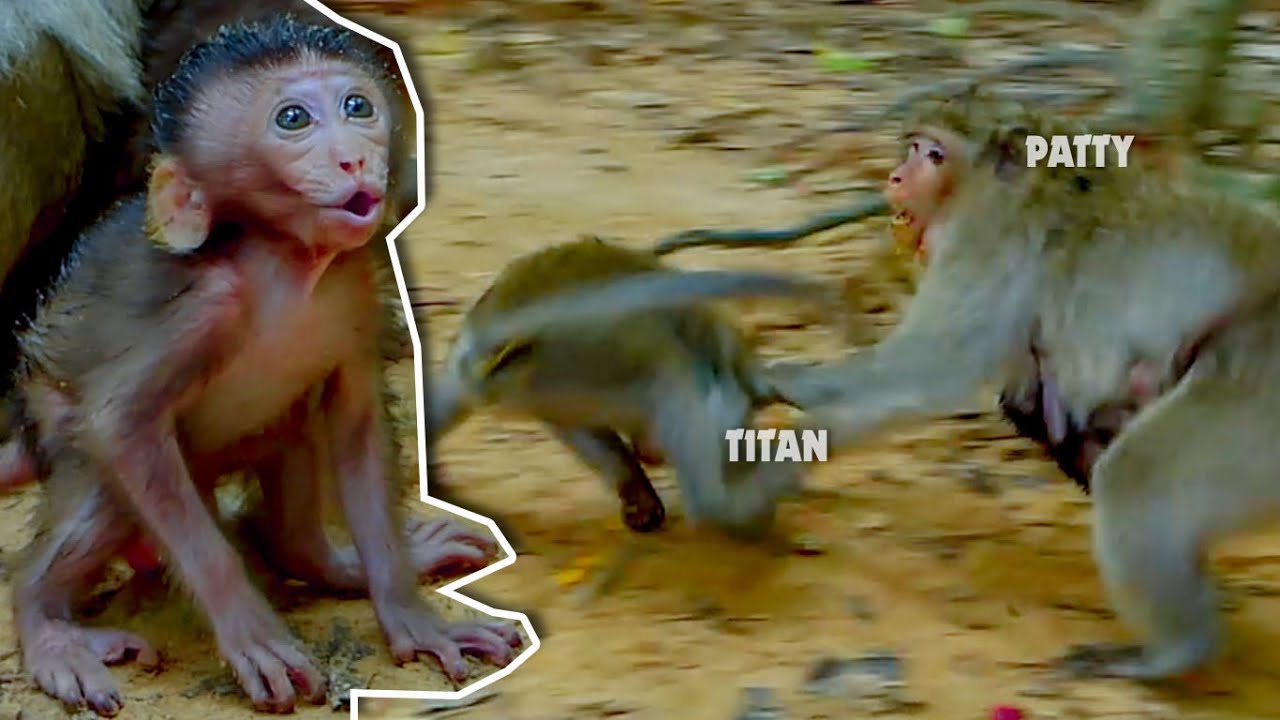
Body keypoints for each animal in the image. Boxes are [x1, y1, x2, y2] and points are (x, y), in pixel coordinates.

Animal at [9, 18, 522, 716]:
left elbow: (356, 418)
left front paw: (412, 617)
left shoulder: (357, 285)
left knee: (298, 423)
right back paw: (43, 621)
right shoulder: (205, 307)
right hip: (61, 428)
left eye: (357, 106)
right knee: (111, 486)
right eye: (292, 119)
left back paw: (323, 560)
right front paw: (252, 636)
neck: (287, 266)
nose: (353, 159)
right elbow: (121, 423)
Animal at [763, 102, 1280, 682]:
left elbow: (935, 366)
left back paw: (1174, 653)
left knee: (1135, 476)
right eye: (913, 147)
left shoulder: (990, 241)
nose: (896, 176)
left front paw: (793, 392)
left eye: (934, 154)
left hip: (1256, 393)